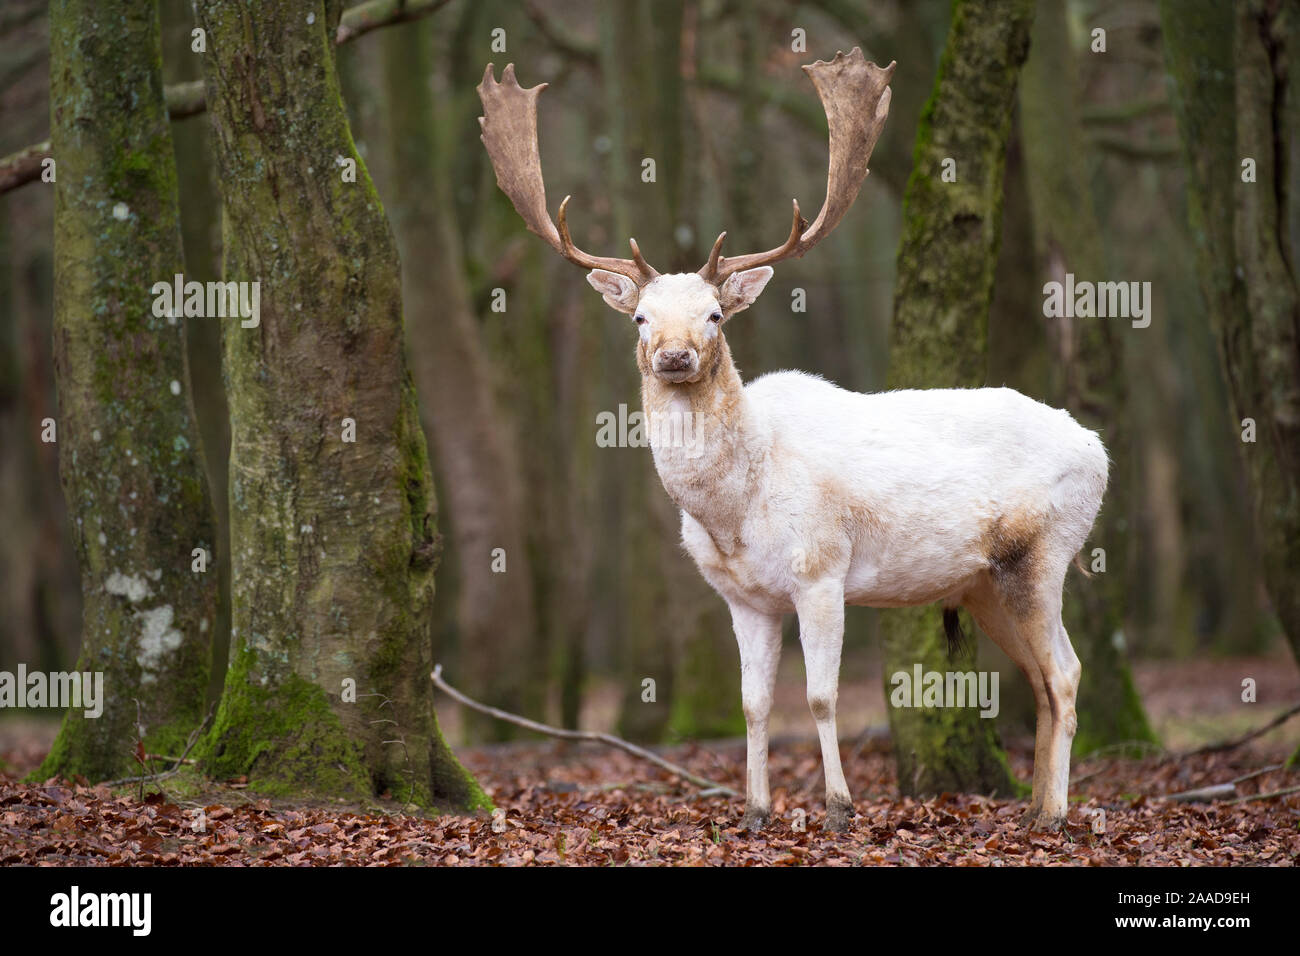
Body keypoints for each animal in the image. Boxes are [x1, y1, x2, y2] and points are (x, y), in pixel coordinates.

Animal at [477, 49, 1108, 834]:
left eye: (715, 314)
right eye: (641, 318)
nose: (675, 356)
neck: (734, 510)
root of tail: (1099, 449)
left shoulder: (821, 570)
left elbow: (820, 696)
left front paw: (838, 807)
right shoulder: (742, 597)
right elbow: (754, 705)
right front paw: (754, 810)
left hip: (1043, 550)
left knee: (1067, 672)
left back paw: (1053, 816)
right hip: (984, 581)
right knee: (1041, 677)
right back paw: (1033, 810)